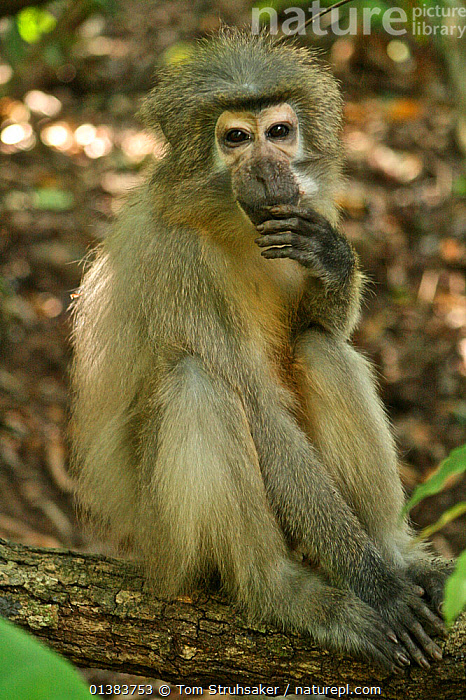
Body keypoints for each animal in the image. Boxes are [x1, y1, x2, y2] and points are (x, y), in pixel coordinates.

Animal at [70, 30, 453, 673]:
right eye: (236, 139)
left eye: (278, 132)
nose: (269, 167)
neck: (229, 225)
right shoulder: (178, 259)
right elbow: (259, 408)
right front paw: (376, 586)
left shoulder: (305, 211)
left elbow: (325, 325)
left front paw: (333, 261)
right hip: (167, 542)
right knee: (199, 383)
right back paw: (280, 590)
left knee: (321, 349)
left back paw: (394, 552)